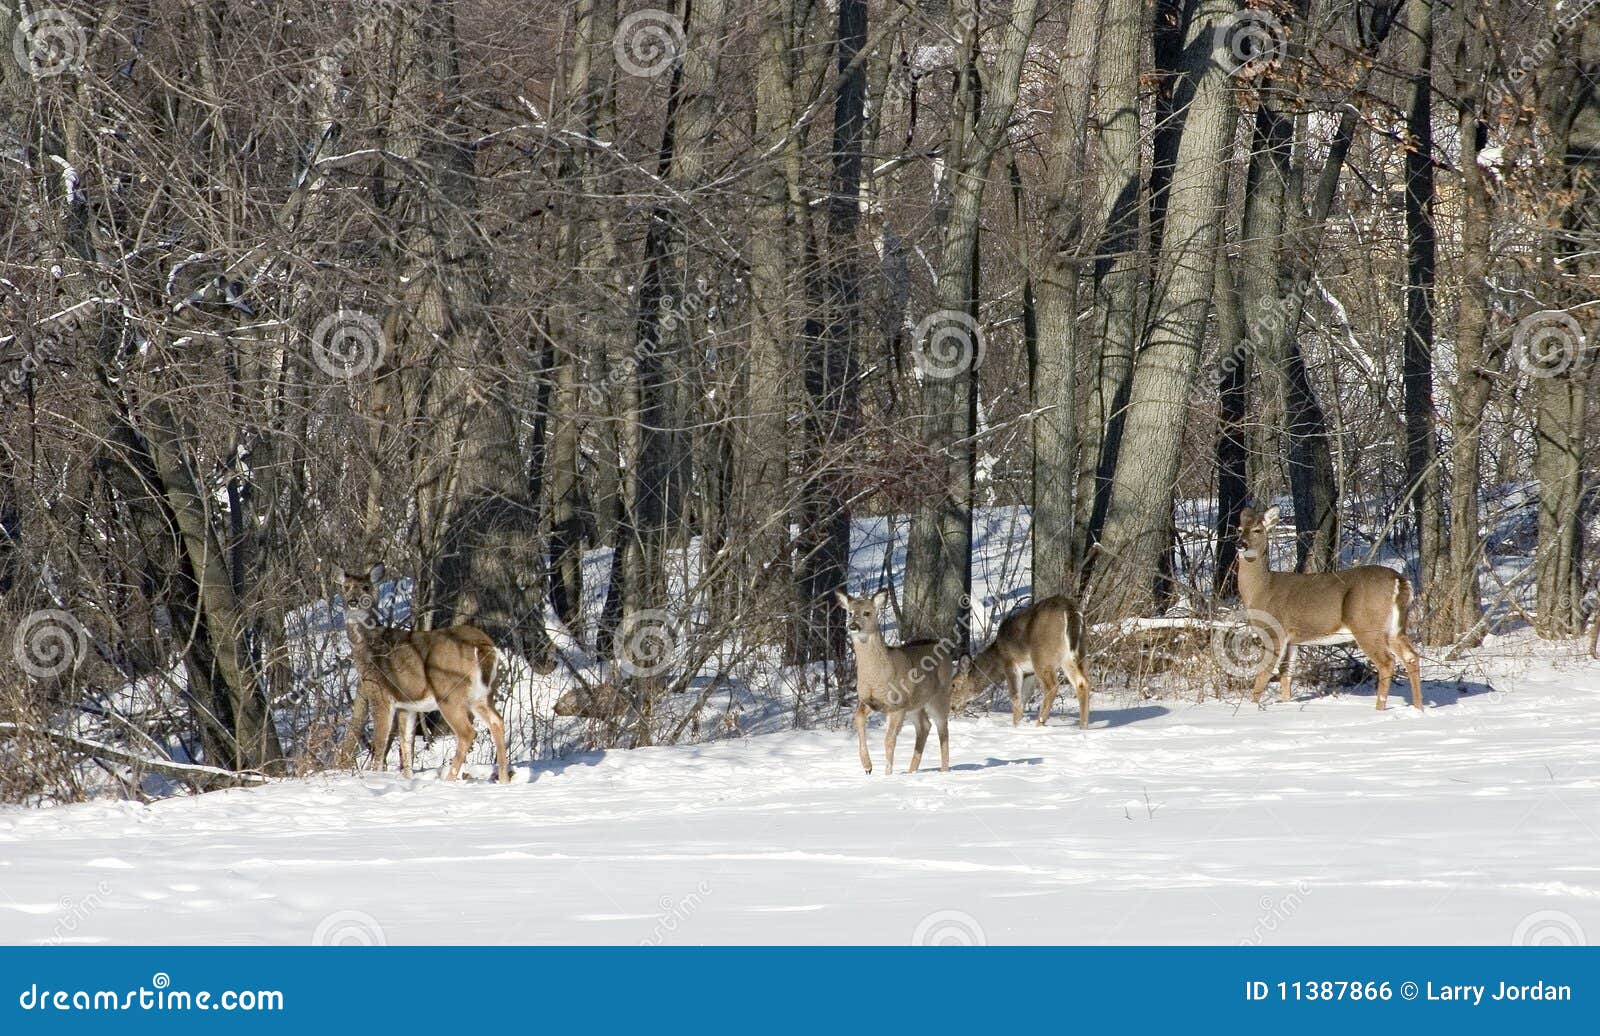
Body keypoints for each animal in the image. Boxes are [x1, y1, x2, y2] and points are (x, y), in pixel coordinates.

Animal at [339, 563, 511, 782]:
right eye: (345, 587)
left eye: (366, 587)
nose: (352, 602)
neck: (368, 648)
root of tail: (482, 645)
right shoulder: (407, 706)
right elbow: (406, 745)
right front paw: (408, 778)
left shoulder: (380, 695)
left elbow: (380, 743)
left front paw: (375, 776)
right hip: (482, 695)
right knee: (497, 721)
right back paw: (504, 779)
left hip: (449, 692)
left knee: (467, 733)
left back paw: (449, 779)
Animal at [837, 590, 958, 775]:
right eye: (850, 613)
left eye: (867, 613)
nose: (853, 626)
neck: (875, 678)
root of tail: (944, 649)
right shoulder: (869, 701)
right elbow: (858, 718)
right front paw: (867, 766)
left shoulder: (897, 704)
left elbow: (889, 740)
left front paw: (887, 774)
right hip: (915, 705)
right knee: (925, 726)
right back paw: (910, 772)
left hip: (939, 696)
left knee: (943, 730)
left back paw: (944, 771)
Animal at [951, 596, 1091, 728]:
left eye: (953, 684)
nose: (951, 707)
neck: (998, 657)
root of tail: (1070, 609)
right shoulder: (1029, 672)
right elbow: (1024, 698)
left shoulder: (1010, 663)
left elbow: (1016, 698)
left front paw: (1015, 727)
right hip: (1075, 654)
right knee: (1082, 682)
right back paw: (1083, 726)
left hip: (1042, 656)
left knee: (1052, 686)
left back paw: (1040, 724)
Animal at [1234, 506, 1423, 710]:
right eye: (1239, 529)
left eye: (1257, 530)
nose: (1240, 543)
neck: (1261, 589)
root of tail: (1400, 581)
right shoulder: (1294, 640)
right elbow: (1286, 675)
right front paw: (1286, 704)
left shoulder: (1274, 630)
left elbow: (1263, 674)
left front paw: (1252, 708)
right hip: (1395, 628)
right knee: (1411, 656)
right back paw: (1418, 709)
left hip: (1367, 626)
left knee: (1387, 662)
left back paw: (1379, 709)